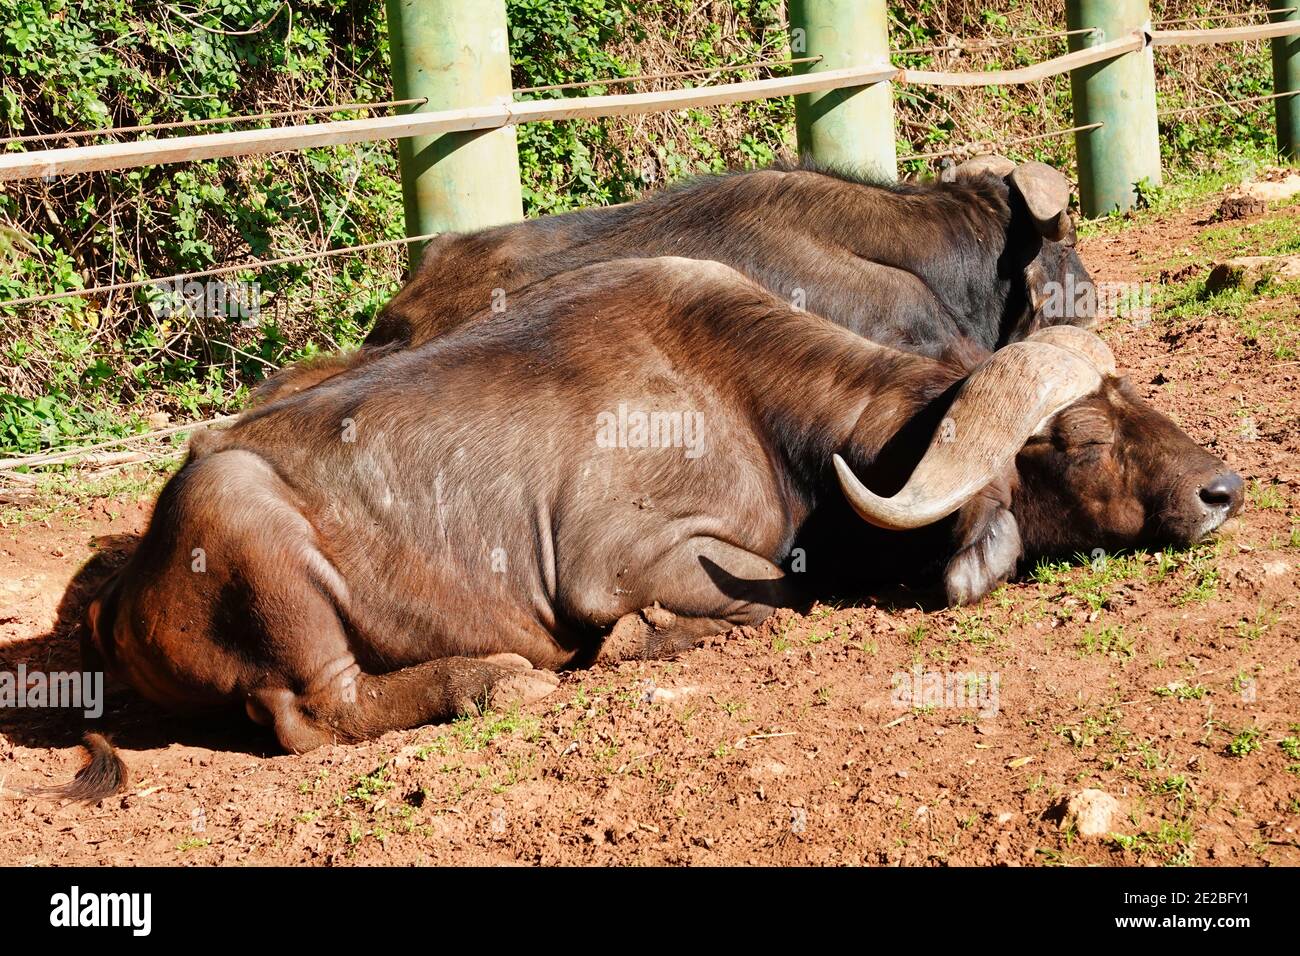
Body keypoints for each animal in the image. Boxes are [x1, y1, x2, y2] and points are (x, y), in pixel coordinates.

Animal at [64, 256, 1241, 799]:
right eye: (1082, 439)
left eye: (1137, 398)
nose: (1220, 489)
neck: (755, 408)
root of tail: (127, 584)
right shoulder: (620, 566)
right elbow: (771, 591)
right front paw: (631, 642)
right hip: (254, 532)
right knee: (316, 711)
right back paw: (493, 679)